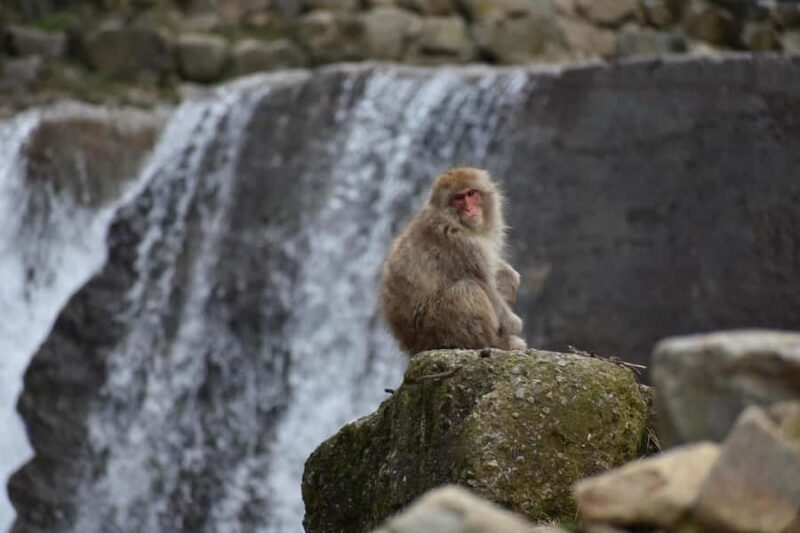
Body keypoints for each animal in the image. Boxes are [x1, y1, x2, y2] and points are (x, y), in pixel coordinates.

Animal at [380, 167, 527, 355]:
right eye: (458, 198)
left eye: (471, 193)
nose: (470, 208)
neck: (453, 220)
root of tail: (412, 346)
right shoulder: (461, 243)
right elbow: (487, 286)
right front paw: (513, 323)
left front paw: (510, 276)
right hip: (435, 329)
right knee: (465, 290)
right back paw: (495, 343)